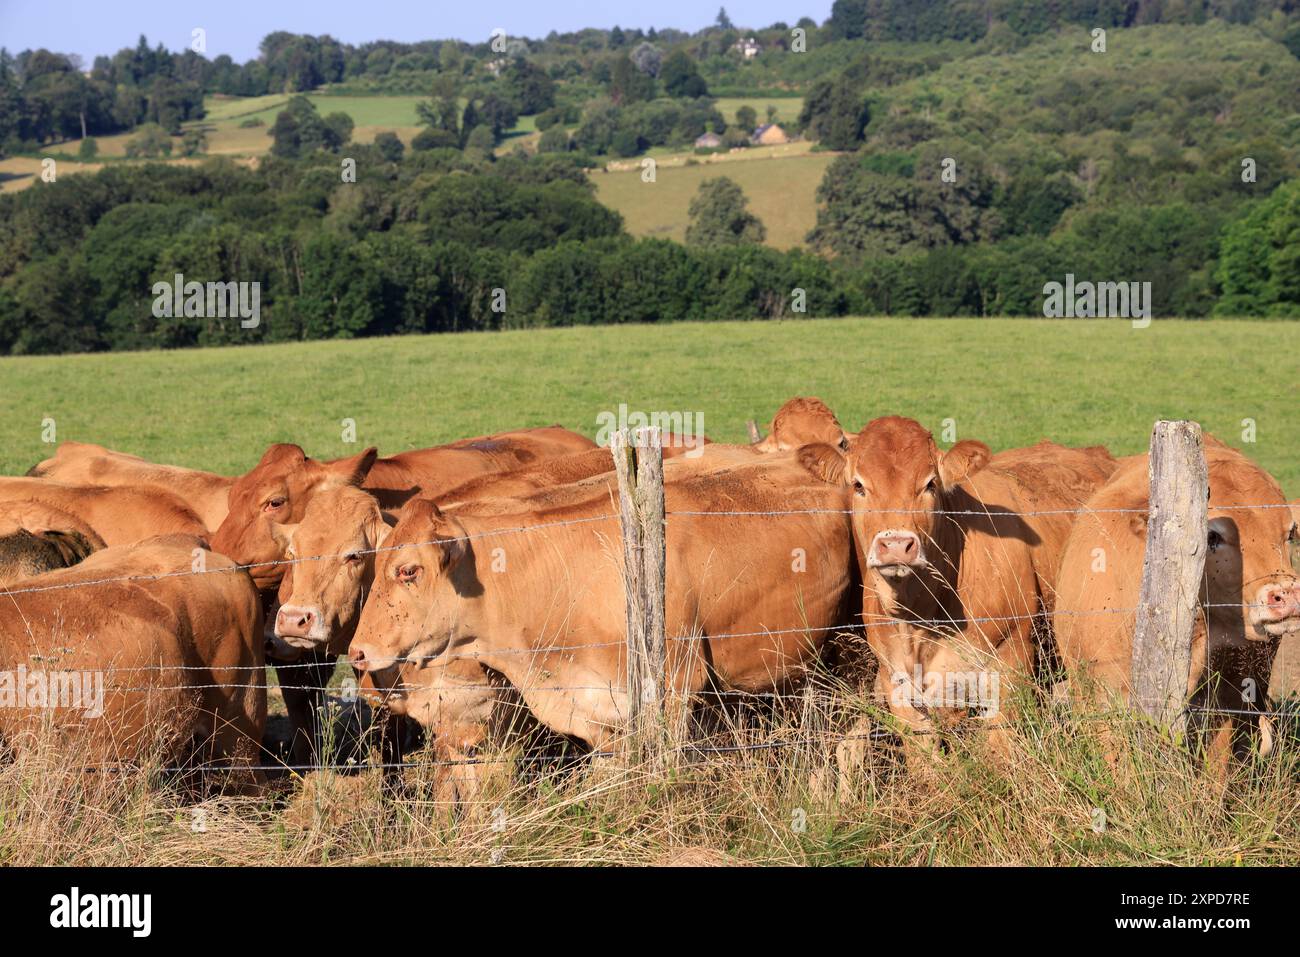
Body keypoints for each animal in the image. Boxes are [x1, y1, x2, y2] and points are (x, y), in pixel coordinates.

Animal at [796, 416, 1118, 778]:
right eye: (858, 485)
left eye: (930, 484)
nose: (896, 545)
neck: (919, 618)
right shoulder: (896, 684)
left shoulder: (1009, 666)